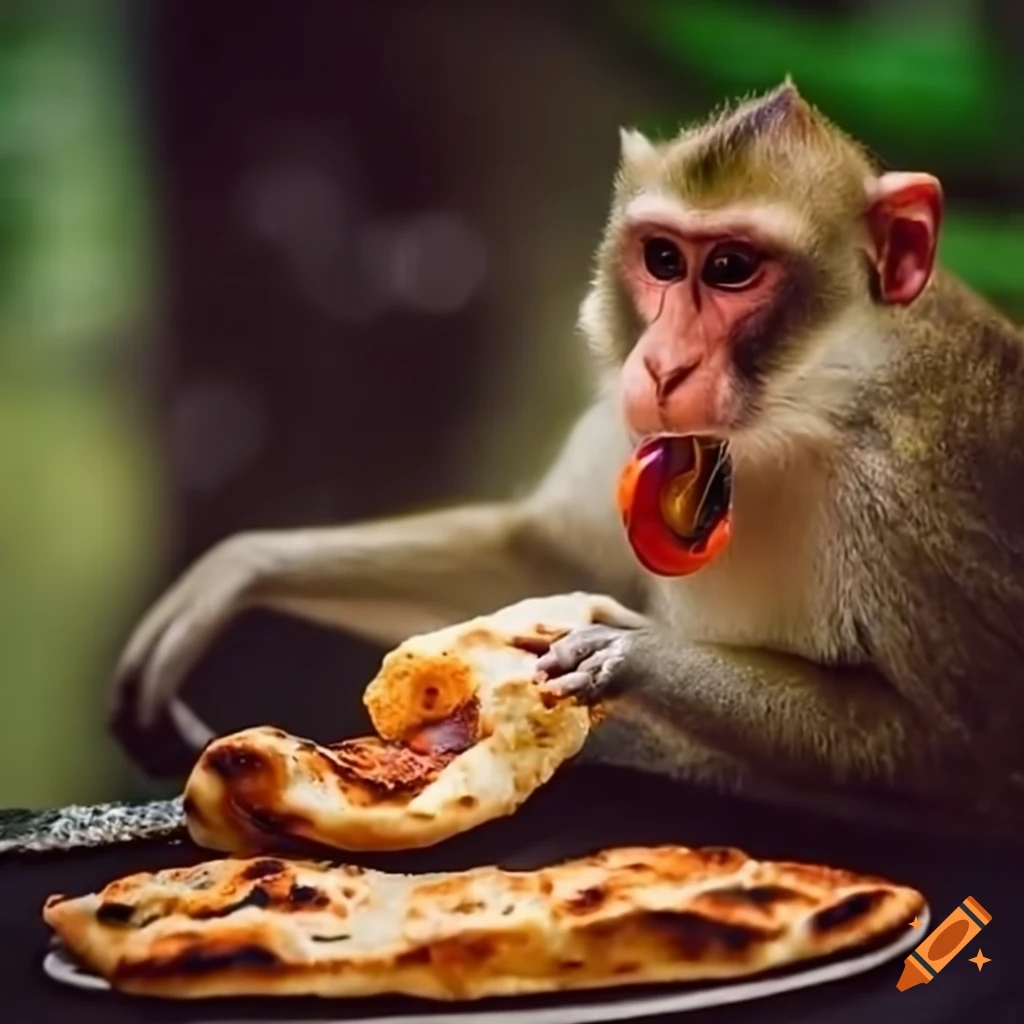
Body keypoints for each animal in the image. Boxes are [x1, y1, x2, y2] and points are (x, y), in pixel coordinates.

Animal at [10, 79, 1024, 856]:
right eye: (664, 258)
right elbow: (551, 556)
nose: (662, 367)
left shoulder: (917, 494)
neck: (799, 412)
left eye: (734, 268)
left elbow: (967, 762)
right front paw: (238, 566)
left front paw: (630, 656)